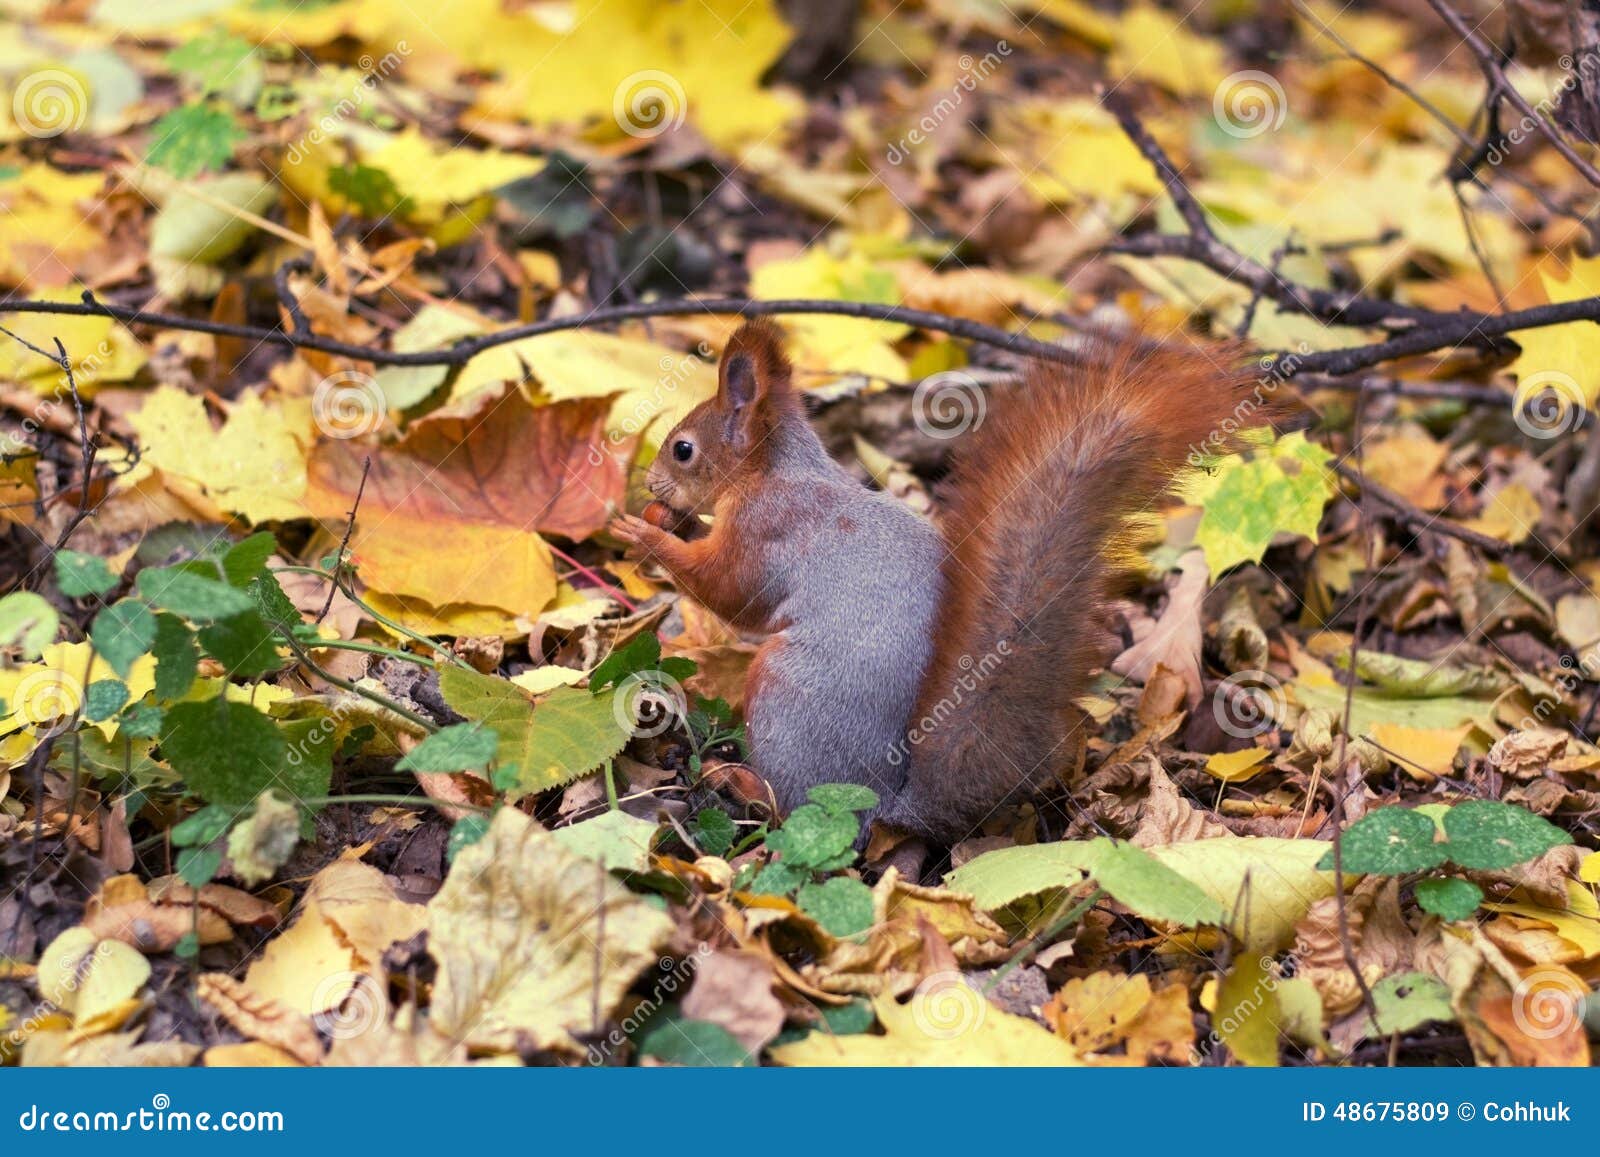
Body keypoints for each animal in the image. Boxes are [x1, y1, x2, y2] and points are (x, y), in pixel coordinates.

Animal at [610, 319, 1259, 844]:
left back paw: (739, 781)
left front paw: (643, 533)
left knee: (789, 809)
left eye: (683, 449)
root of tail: (889, 803)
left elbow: (729, 592)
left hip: (783, 694)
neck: (776, 471)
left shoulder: (767, 530)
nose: (652, 486)